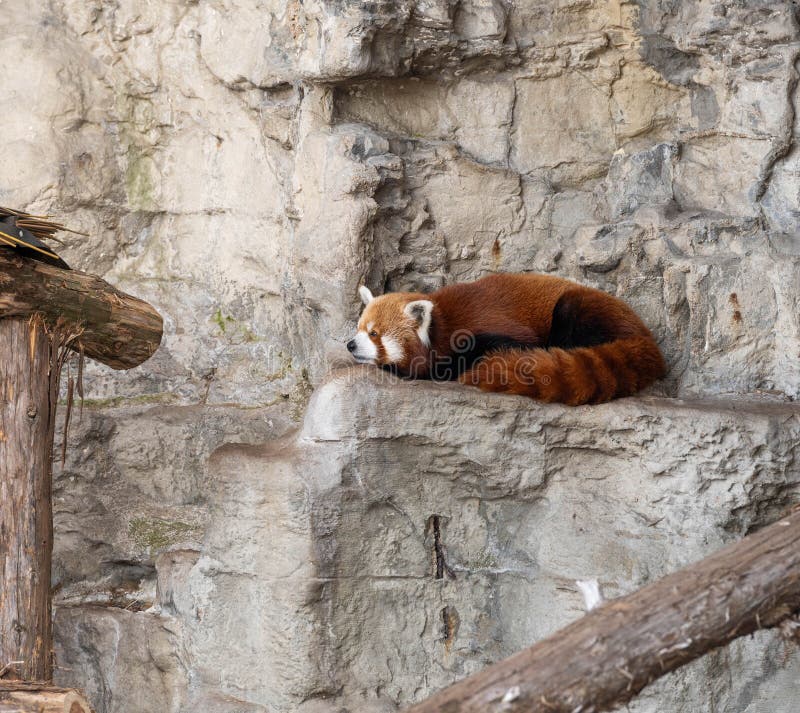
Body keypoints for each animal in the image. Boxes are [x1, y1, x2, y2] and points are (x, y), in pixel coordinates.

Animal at [346, 273, 666, 405]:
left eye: (374, 334)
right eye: (359, 328)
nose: (350, 344)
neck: (442, 324)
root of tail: (643, 333)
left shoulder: (491, 327)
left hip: (580, 309)